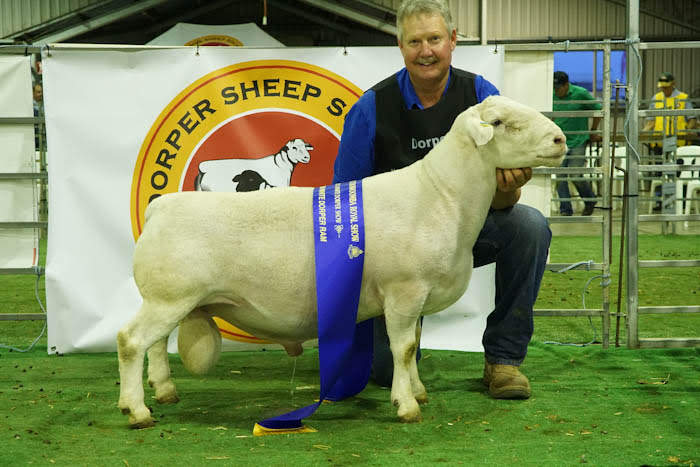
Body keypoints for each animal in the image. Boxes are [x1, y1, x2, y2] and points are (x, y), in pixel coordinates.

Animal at [117, 95, 566, 428]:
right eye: (502, 122)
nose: (561, 140)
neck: (440, 195)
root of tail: (160, 206)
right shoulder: (404, 290)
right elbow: (404, 348)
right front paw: (406, 405)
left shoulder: (414, 298)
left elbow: (413, 346)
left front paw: (417, 391)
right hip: (169, 295)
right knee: (131, 340)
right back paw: (136, 410)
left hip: (170, 299)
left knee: (156, 344)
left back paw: (164, 391)